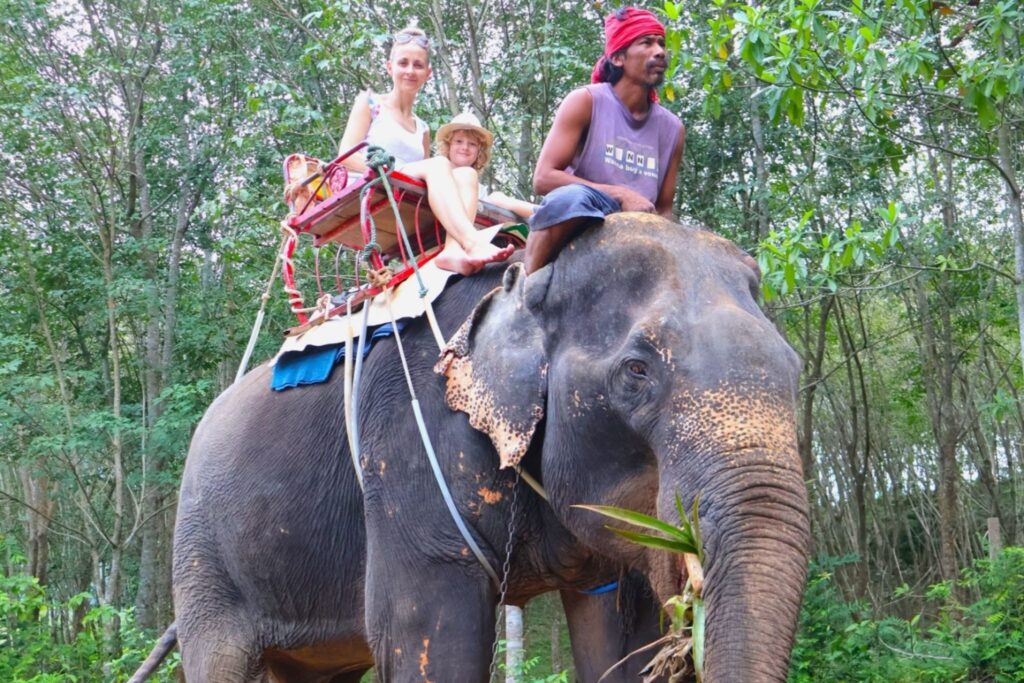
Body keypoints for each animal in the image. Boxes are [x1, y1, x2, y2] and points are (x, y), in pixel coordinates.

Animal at [135, 213, 809, 682]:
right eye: (637, 372)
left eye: (795, 368)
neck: (530, 274)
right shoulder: (407, 447)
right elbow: (423, 635)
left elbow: (620, 638)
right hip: (203, 559)